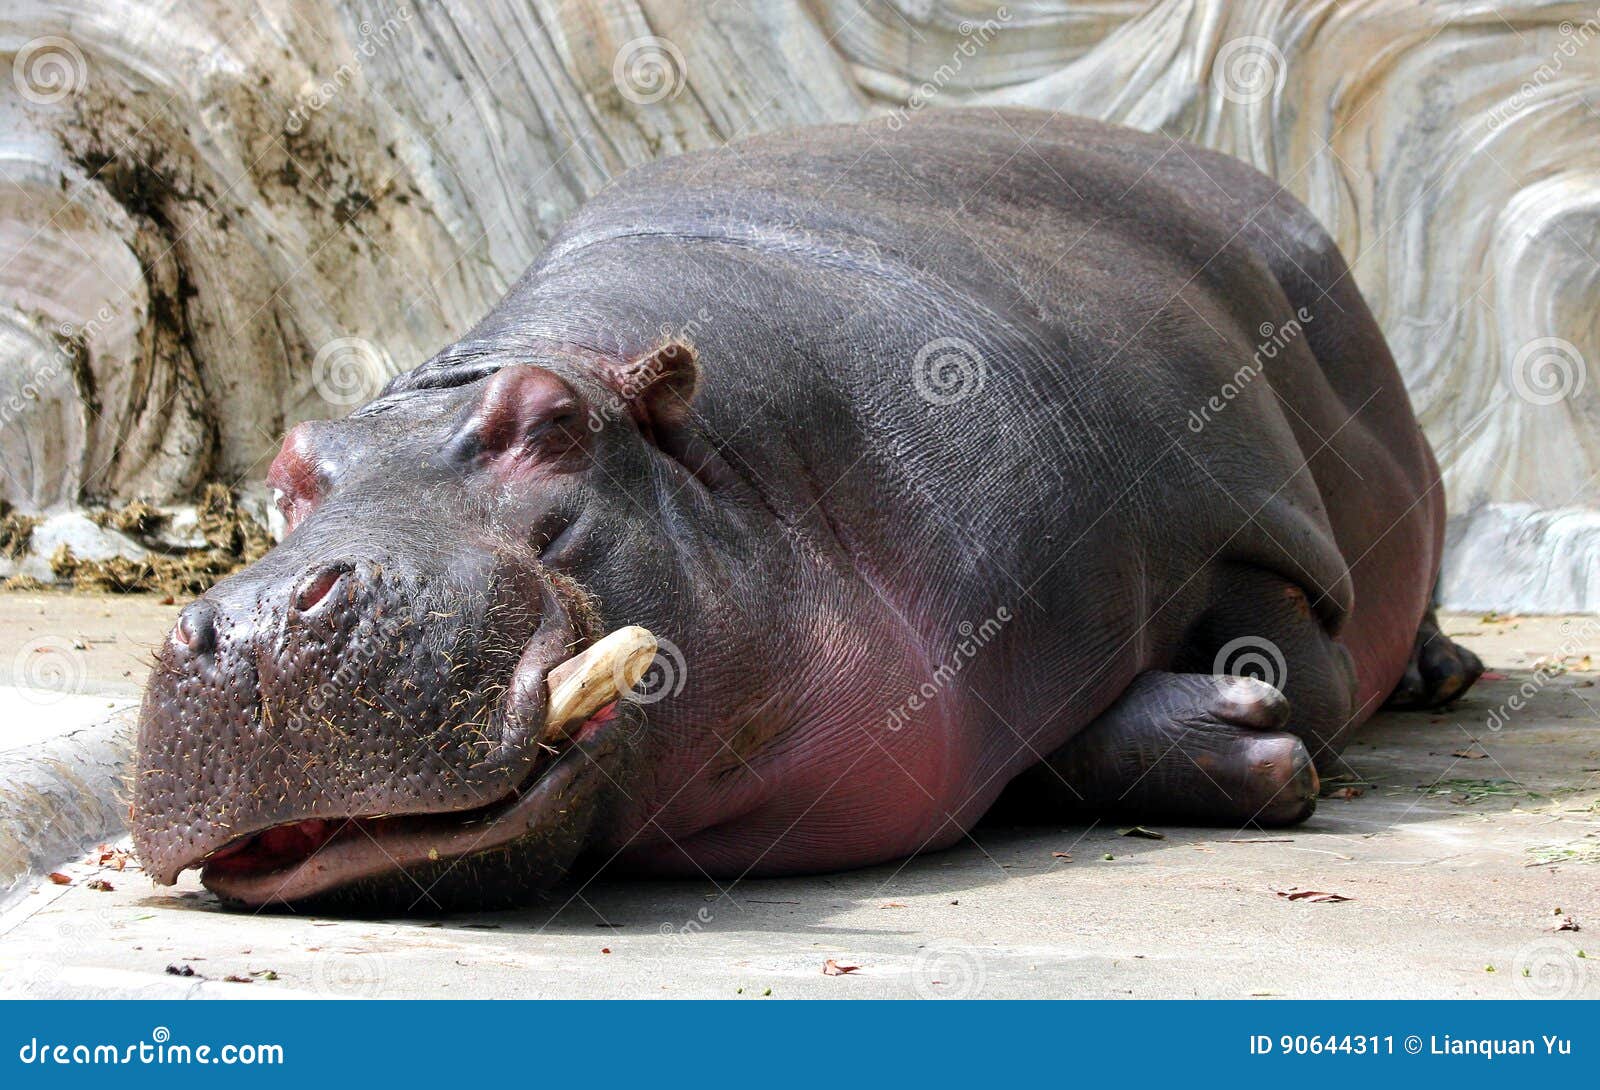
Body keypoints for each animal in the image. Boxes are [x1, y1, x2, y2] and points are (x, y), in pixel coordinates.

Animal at [131, 108, 1482, 911]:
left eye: (551, 425)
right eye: (293, 466)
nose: (253, 626)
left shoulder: (1251, 536)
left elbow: (1286, 667)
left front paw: (1252, 717)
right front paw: (1235, 727)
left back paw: (1443, 674)